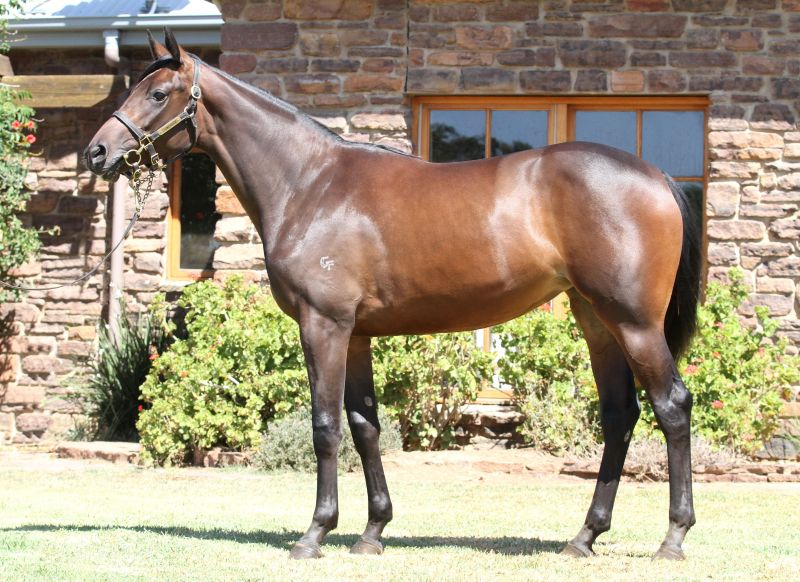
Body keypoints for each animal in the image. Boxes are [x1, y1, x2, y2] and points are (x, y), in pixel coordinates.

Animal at [85, 30, 701, 561]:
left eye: (158, 93)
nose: (97, 153)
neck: (308, 183)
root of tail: (658, 177)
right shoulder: (355, 335)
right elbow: (365, 426)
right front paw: (372, 532)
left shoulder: (323, 326)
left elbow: (326, 427)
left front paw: (314, 534)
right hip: (597, 321)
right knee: (620, 415)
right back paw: (584, 537)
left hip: (634, 323)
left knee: (672, 406)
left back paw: (672, 539)